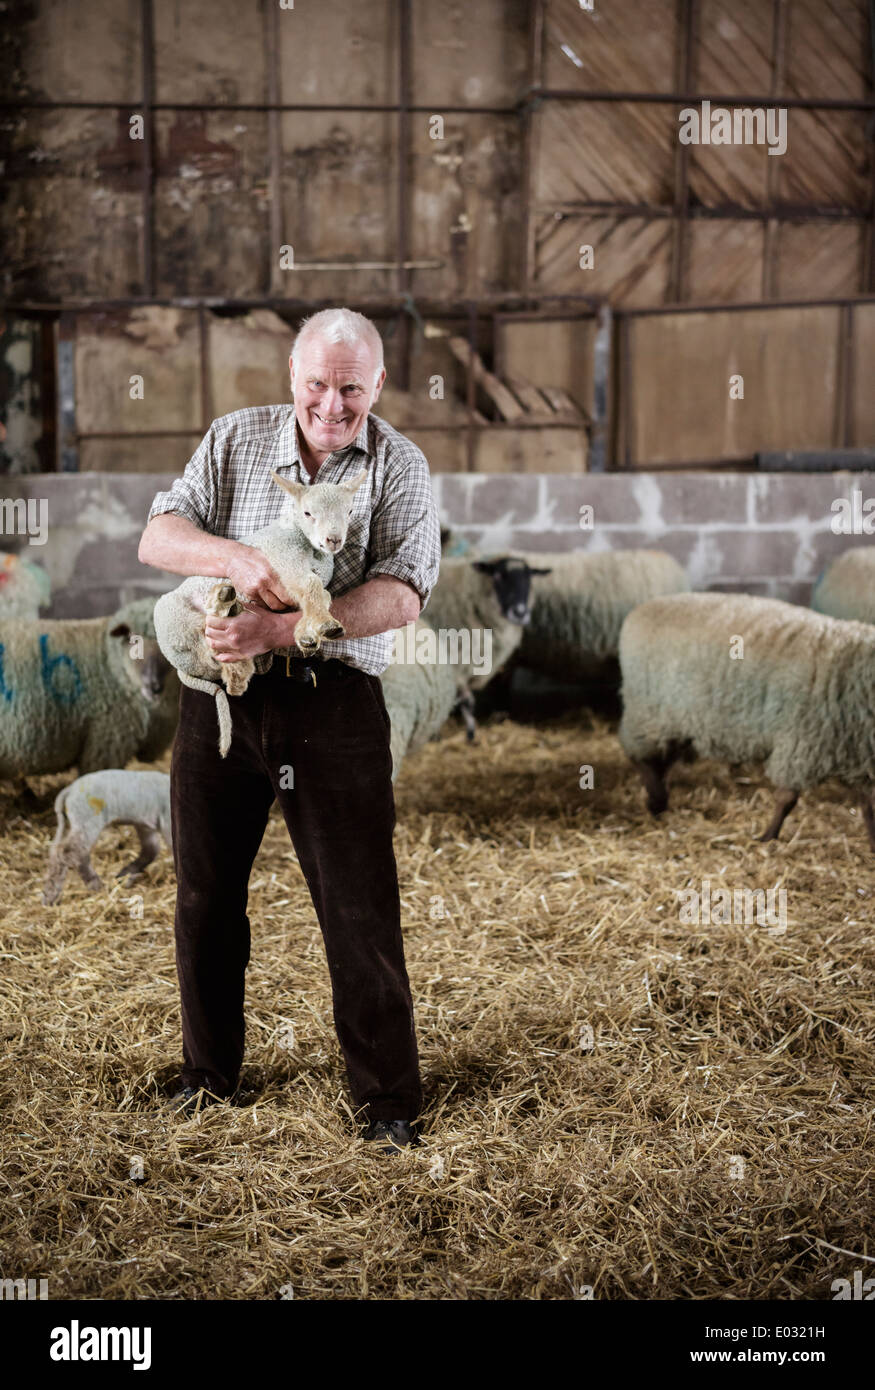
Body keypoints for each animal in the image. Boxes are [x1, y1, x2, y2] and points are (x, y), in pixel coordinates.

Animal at [42, 769, 172, 905]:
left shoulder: (145, 825)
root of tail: (70, 789)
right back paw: (96, 886)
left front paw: (123, 877)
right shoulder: (166, 821)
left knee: (57, 851)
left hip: (71, 823)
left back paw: (49, 896)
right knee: (71, 852)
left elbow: (151, 850)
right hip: (88, 820)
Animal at [154, 468, 366, 757]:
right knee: (210, 649)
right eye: (308, 513)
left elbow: (320, 596)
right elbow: (311, 587)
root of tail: (181, 668)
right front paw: (325, 626)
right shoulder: (284, 558)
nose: (333, 540)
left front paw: (307, 634)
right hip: (175, 621)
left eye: (350, 511)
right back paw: (221, 604)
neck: (307, 546)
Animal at [618, 591, 875, 850]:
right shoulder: (800, 745)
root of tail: (641, 610)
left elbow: (868, 807)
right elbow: (787, 799)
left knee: (663, 759)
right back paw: (656, 801)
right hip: (648, 711)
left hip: (677, 720)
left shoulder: (860, 760)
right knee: (639, 755)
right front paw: (768, 836)